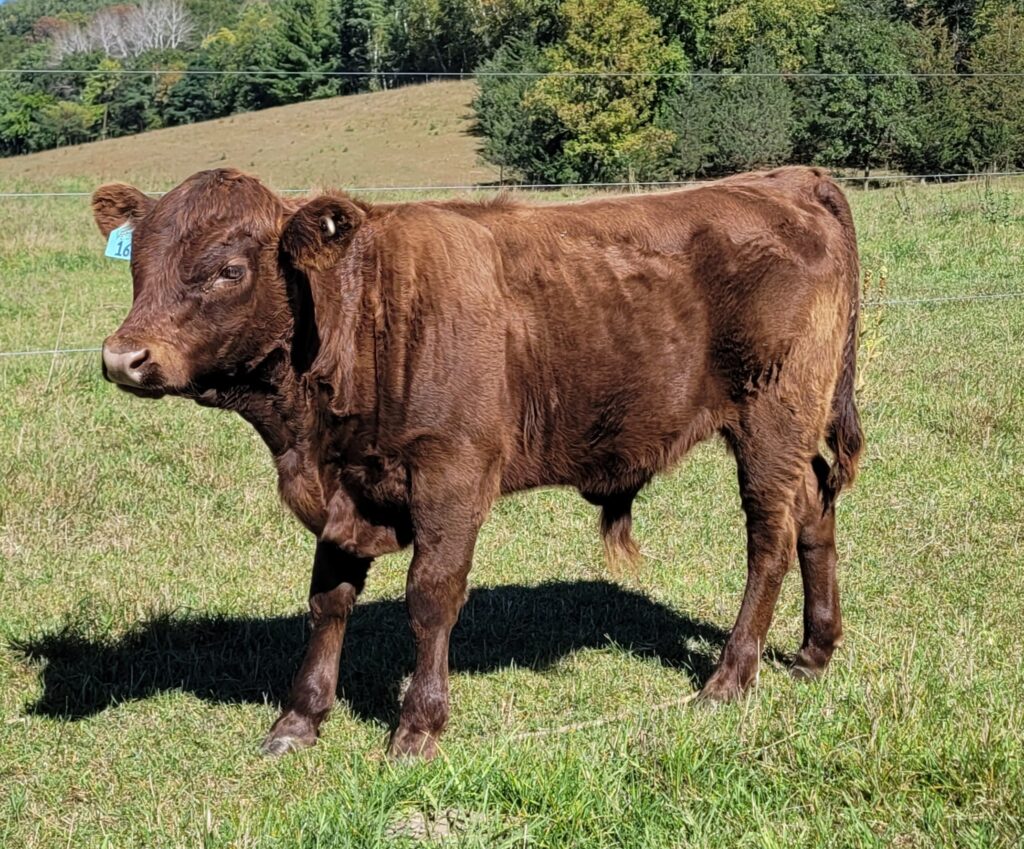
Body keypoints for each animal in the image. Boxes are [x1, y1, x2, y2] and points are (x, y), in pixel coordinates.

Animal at [92, 166, 863, 760]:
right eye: (137, 266)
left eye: (229, 269)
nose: (122, 357)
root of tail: (788, 178)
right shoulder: (348, 490)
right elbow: (328, 597)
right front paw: (300, 719)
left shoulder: (451, 475)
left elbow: (431, 595)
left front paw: (418, 727)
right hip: (791, 429)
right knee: (813, 509)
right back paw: (814, 651)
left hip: (772, 417)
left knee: (768, 539)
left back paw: (729, 679)